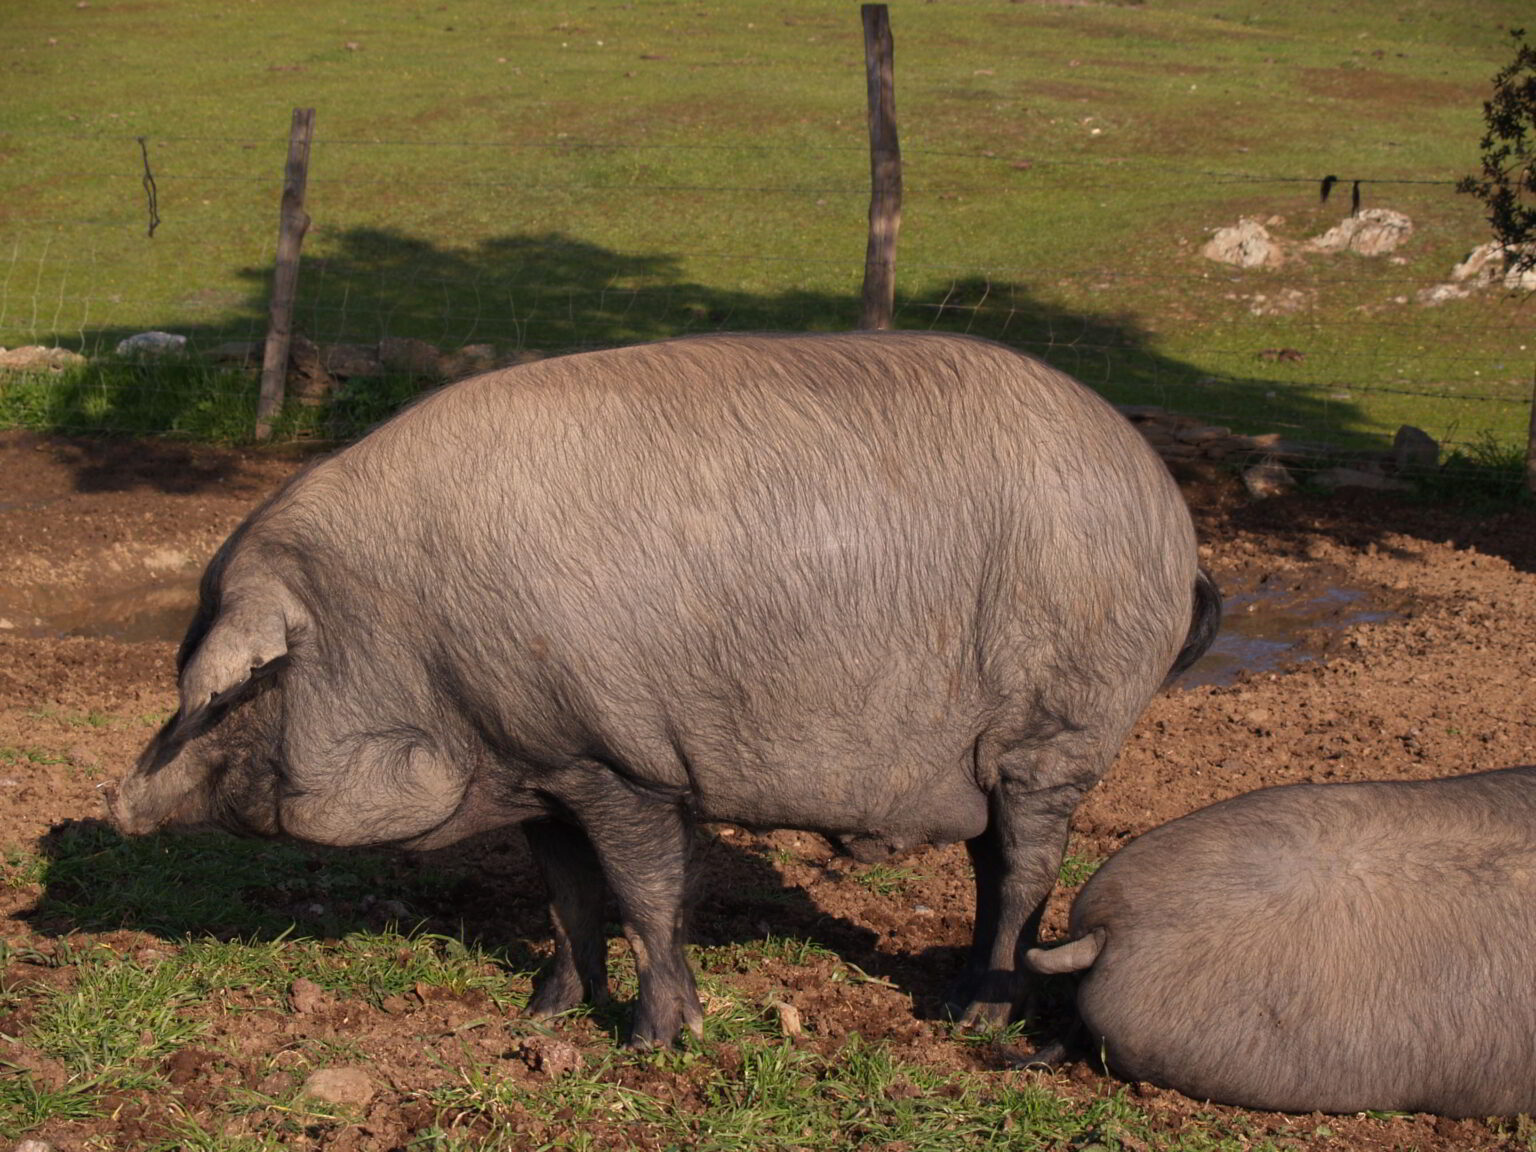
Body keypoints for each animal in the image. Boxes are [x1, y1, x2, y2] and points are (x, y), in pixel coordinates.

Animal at [107, 331, 1219, 1047]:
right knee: (993, 866)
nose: (112, 798)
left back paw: (977, 1020)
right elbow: (568, 900)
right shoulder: (541, 773)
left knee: (1027, 872)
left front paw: (654, 1042)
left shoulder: (616, 761)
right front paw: (543, 1015)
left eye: (237, 693)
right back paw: (953, 1002)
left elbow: (645, 894)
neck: (412, 639)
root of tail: (1174, 519)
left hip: (1058, 732)